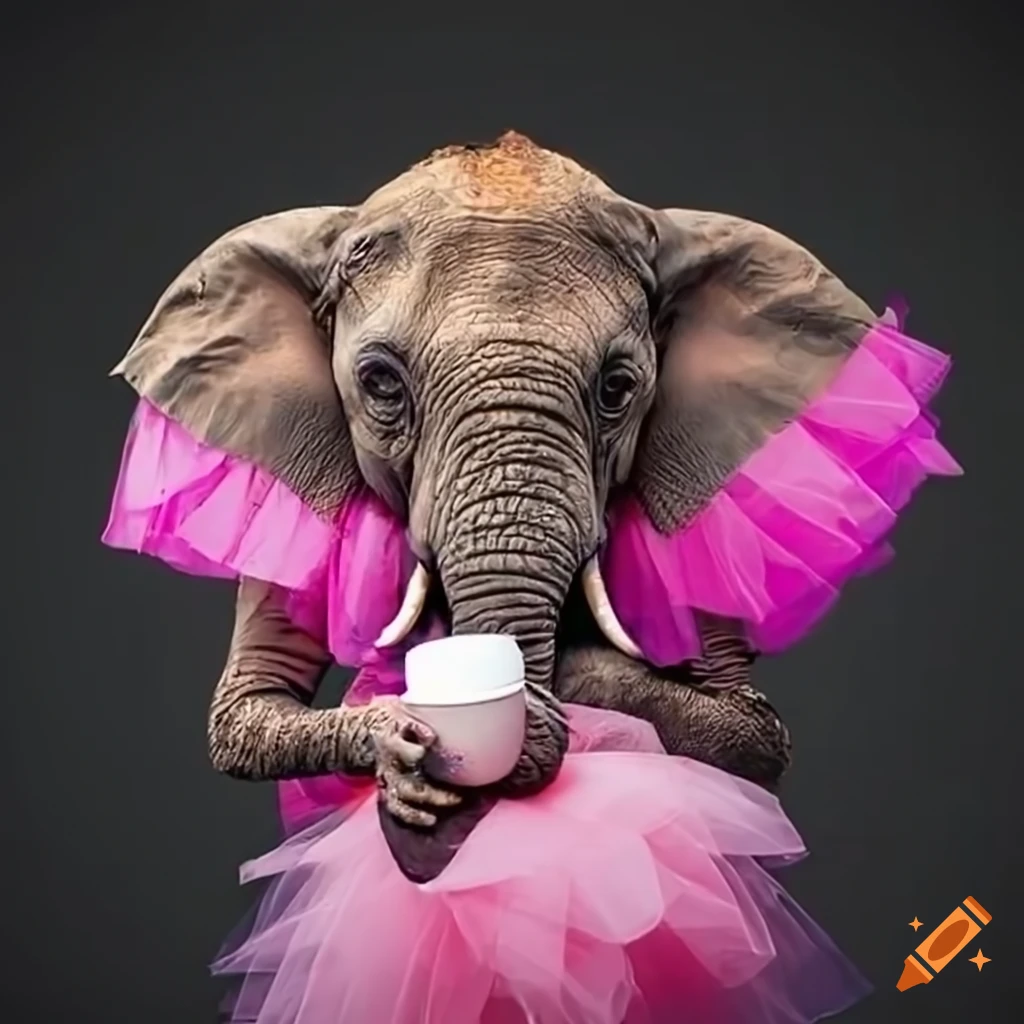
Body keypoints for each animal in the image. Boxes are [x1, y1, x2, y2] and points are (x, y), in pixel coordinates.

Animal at [113, 130, 879, 836]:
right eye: (380, 383)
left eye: (618, 387)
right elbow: (247, 707)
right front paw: (399, 738)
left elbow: (750, 732)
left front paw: (573, 668)